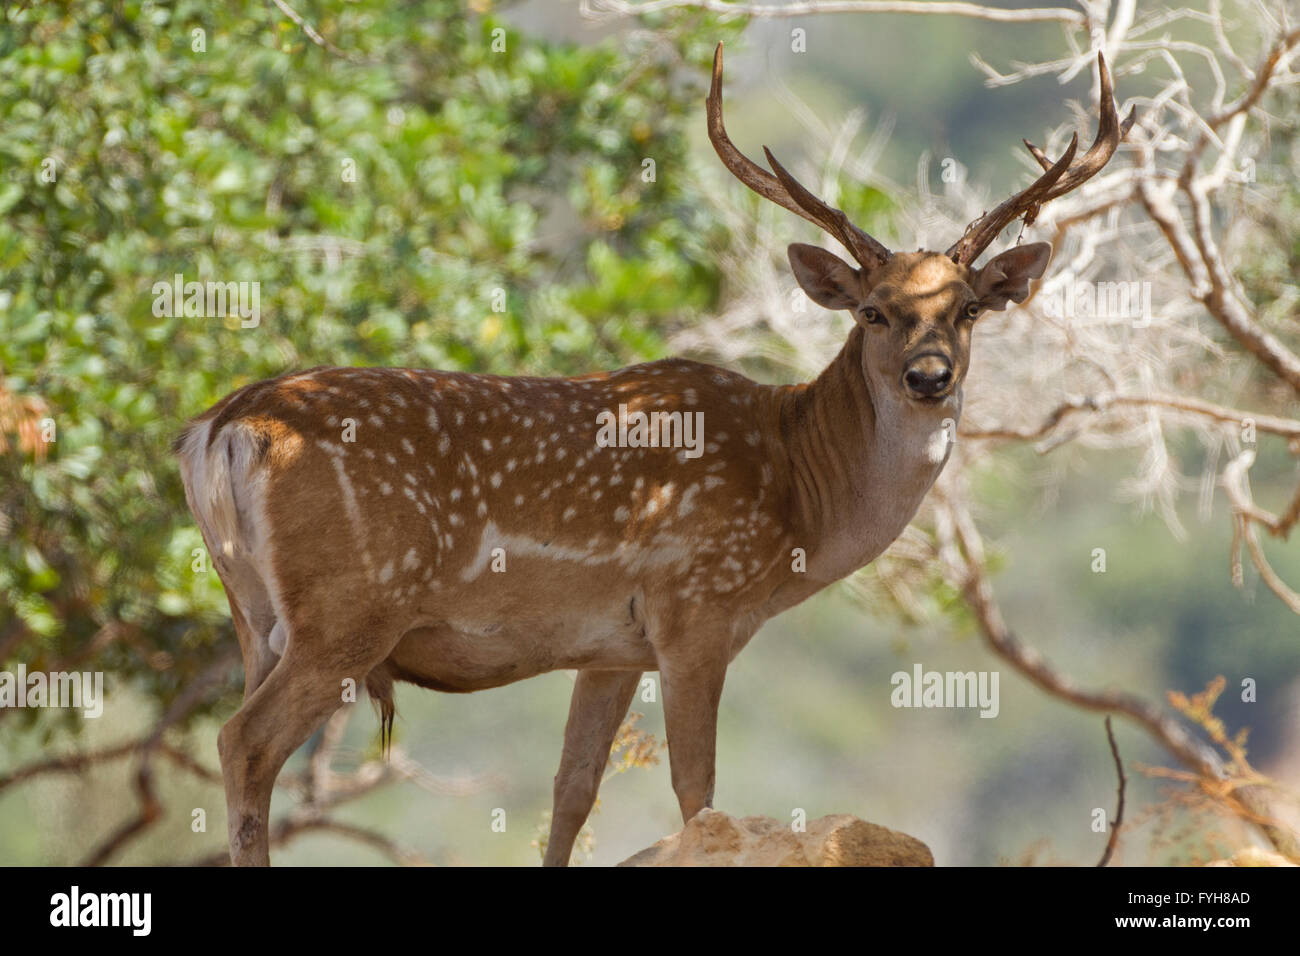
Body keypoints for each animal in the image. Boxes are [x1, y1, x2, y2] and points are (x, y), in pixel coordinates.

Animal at [174, 43, 1131, 866]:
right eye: (874, 311)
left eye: (967, 309)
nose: (929, 377)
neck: (800, 497)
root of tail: (223, 428)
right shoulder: (694, 606)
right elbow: (698, 793)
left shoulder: (607, 647)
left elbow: (571, 794)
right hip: (349, 605)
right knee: (243, 741)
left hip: (252, 609)